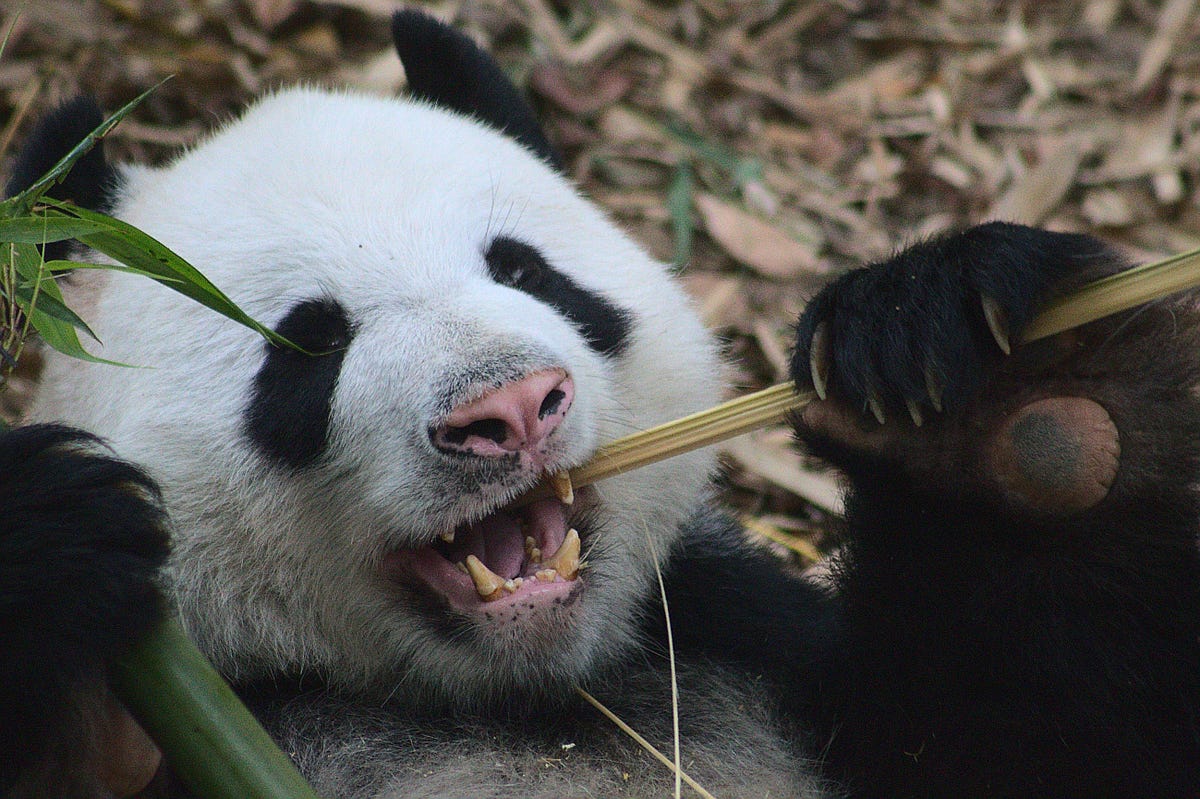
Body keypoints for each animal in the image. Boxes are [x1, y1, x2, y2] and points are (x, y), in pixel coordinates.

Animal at [4, 9, 1200, 799]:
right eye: (308, 344)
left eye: (525, 271)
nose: (510, 409)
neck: (532, 701)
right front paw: (50, 553)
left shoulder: (730, 646)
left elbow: (1042, 735)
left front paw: (991, 394)